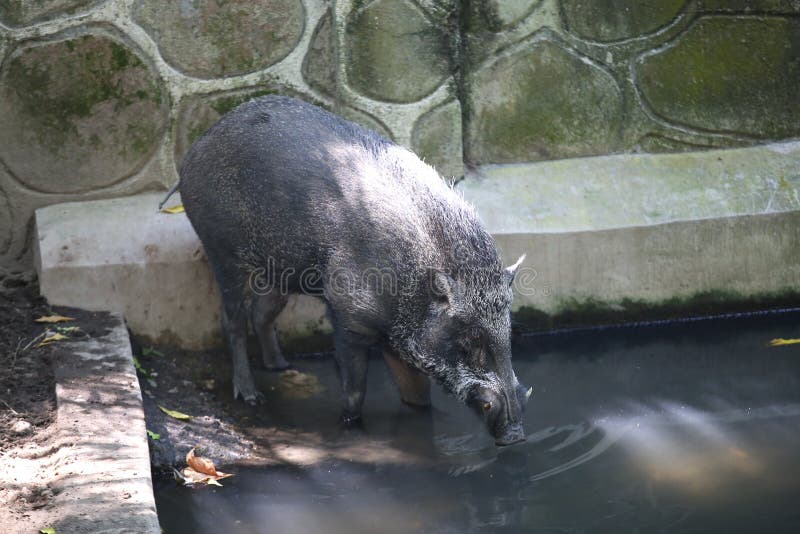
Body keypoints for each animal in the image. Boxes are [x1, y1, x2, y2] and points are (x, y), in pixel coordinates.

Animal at [170, 96, 531, 445]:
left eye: (508, 331)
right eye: (469, 339)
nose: (515, 436)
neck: (409, 288)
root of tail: (194, 151)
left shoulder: (396, 340)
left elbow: (417, 395)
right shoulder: (349, 318)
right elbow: (355, 388)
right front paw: (350, 426)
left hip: (278, 273)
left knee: (263, 314)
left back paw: (281, 366)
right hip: (222, 252)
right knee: (233, 322)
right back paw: (251, 396)